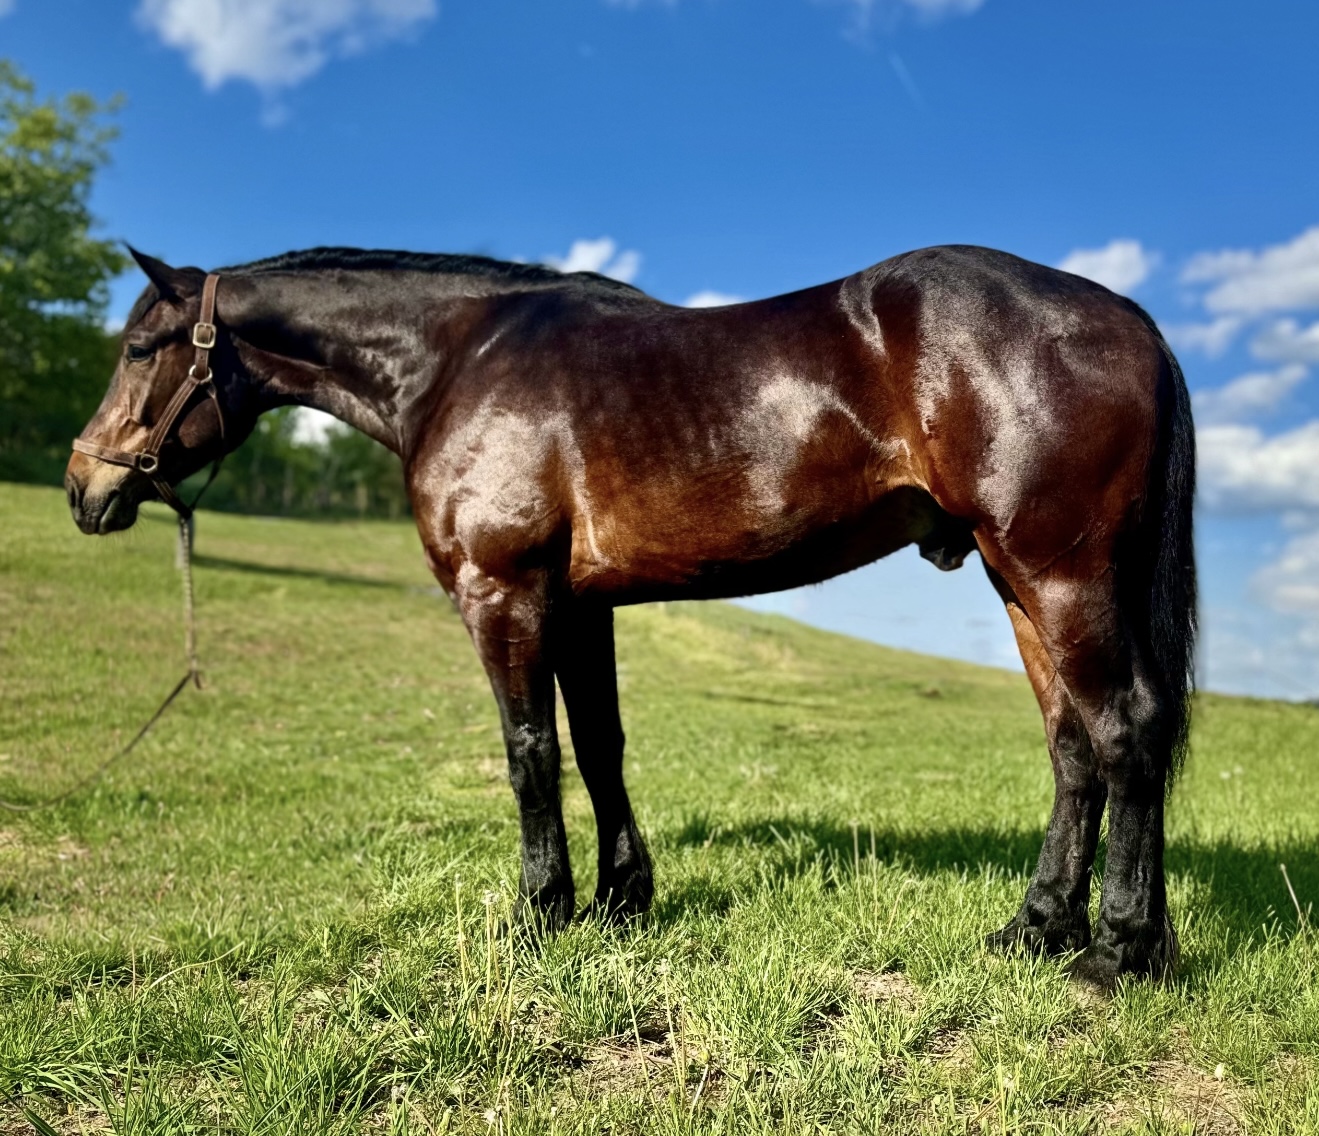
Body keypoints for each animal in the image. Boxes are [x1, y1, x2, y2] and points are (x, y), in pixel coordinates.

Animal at [66, 243, 1196, 988]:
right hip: (1018, 582)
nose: (85, 486)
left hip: (1057, 572)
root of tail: (1124, 315)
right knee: (1070, 747)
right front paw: (619, 901)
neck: (460, 360)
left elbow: (528, 749)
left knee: (1124, 731)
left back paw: (1115, 950)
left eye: (139, 347)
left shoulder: (504, 591)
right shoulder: (578, 606)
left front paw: (541, 912)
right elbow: (597, 744)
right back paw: (1035, 930)